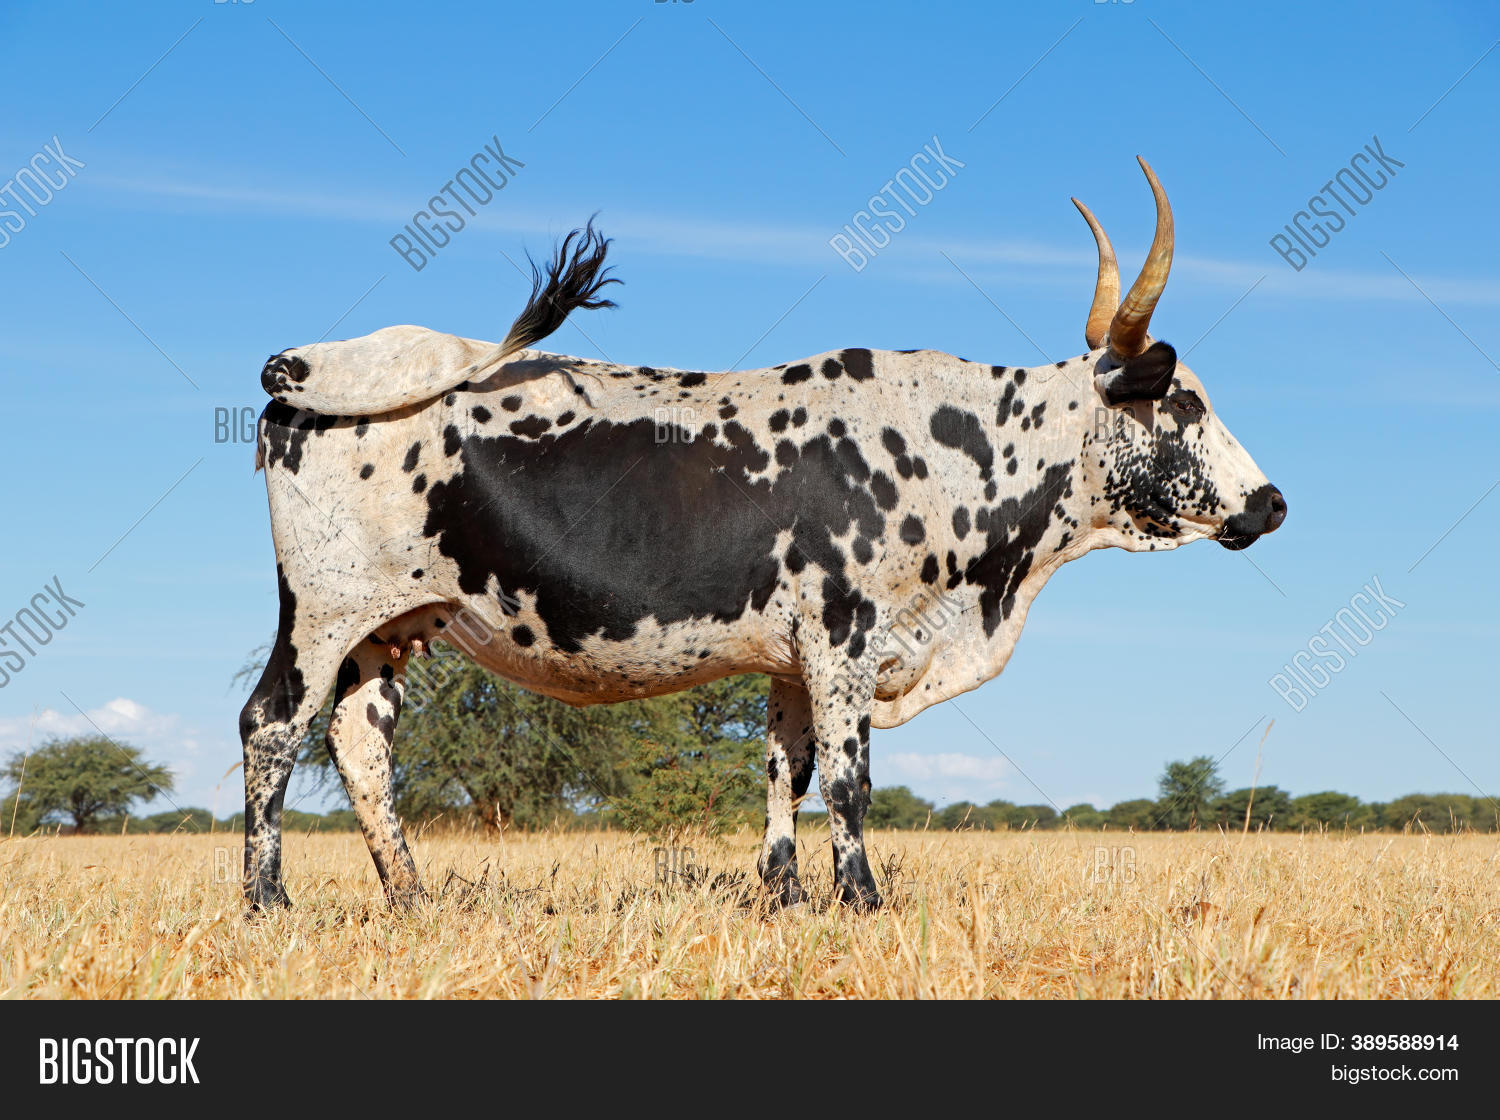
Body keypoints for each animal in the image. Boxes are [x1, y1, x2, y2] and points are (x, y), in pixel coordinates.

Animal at [241, 157, 1285, 912]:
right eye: (1185, 401)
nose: (1272, 503)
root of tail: (303, 367)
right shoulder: (843, 639)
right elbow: (850, 781)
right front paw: (862, 902)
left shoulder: (791, 659)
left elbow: (789, 769)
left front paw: (784, 895)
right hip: (324, 611)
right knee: (272, 727)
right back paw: (268, 904)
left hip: (389, 627)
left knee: (360, 744)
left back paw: (412, 901)